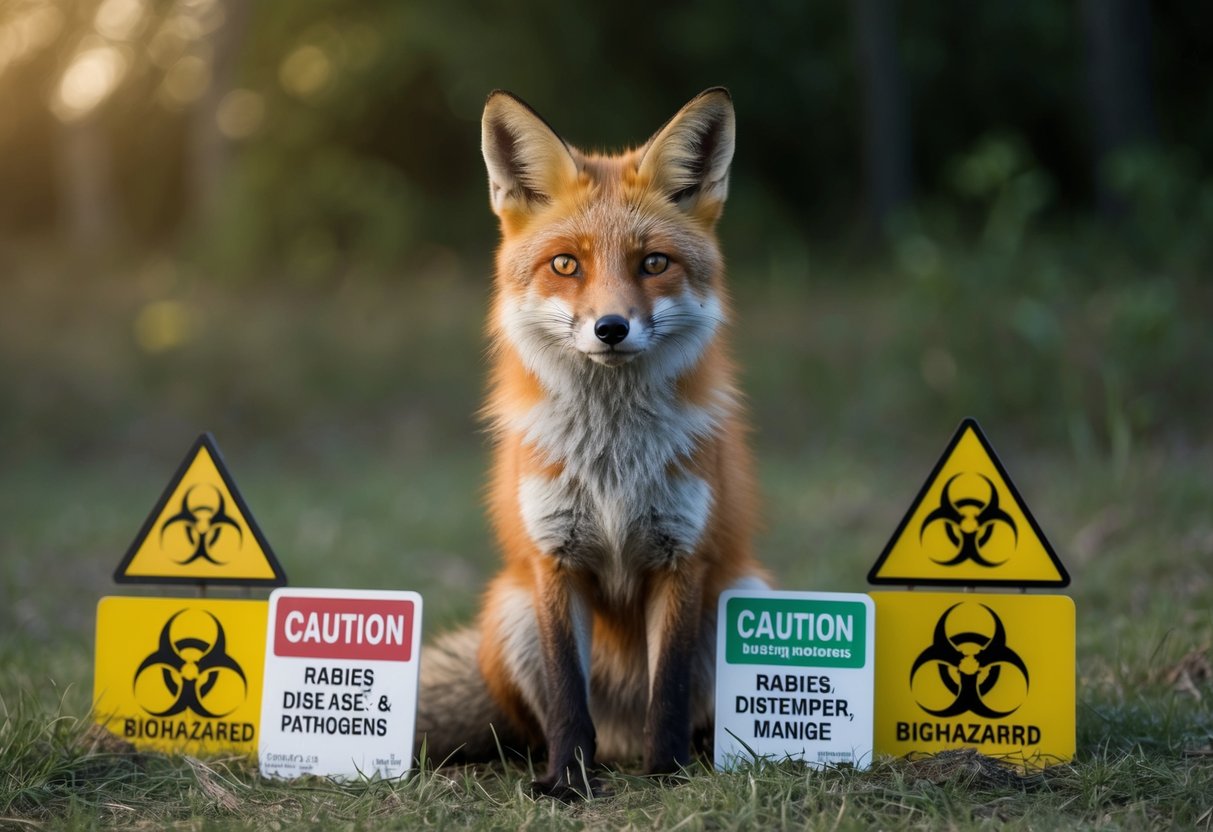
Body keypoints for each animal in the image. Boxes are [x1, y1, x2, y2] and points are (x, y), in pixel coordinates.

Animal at [414, 88, 769, 798]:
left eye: (653, 263)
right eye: (566, 265)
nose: (611, 328)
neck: (613, 460)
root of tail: (622, 736)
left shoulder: (681, 556)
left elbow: (670, 689)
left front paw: (668, 773)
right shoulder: (554, 557)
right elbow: (566, 695)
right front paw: (567, 783)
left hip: (742, 596)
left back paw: (697, 752)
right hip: (511, 607)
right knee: (543, 722)